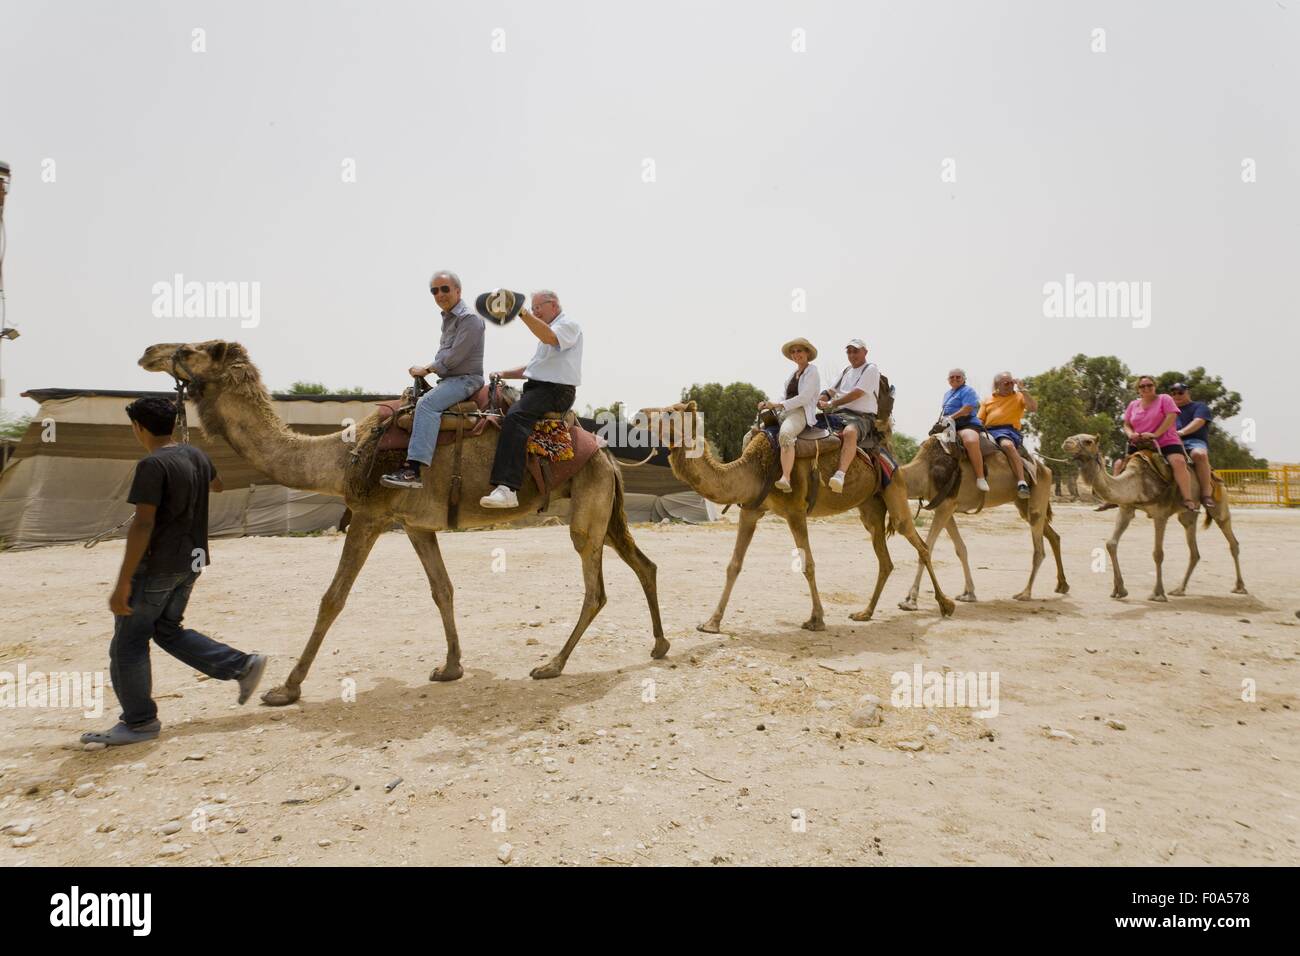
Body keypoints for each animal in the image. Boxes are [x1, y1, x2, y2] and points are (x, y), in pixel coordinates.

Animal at [139, 340, 667, 704]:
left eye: (191, 349)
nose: (148, 351)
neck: (344, 455)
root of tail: (606, 453)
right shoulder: (415, 524)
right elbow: (442, 590)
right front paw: (450, 668)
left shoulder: (369, 515)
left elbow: (332, 600)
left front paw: (285, 689)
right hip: (604, 508)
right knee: (643, 564)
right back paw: (660, 645)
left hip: (586, 512)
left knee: (596, 589)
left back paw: (552, 665)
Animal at [639, 402, 955, 631]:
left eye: (670, 411)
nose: (639, 416)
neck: (755, 467)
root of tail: (886, 449)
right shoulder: (751, 510)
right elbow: (734, 565)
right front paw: (711, 622)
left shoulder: (795, 511)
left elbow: (808, 565)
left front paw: (816, 620)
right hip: (870, 508)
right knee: (885, 560)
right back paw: (865, 613)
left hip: (895, 490)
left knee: (919, 544)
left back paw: (944, 604)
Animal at [894, 431, 1068, 609]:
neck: (925, 470)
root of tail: (1045, 468)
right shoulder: (945, 507)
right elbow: (961, 549)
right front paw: (968, 594)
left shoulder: (946, 505)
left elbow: (926, 548)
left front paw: (910, 600)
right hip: (1023, 504)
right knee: (1053, 536)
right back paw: (1062, 585)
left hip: (1038, 495)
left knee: (1039, 549)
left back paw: (1025, 593)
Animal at [1063, 433, 1246, 601]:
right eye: (1073, 436)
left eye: (1088, 441)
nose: (1066, 442)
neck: (1137, 480)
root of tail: (1215, 473)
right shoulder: (1126, 508)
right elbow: (1111, 544)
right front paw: (1119, 590)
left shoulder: (1160, 514)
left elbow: (1158, 553)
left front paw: (1157, 593)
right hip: (1187, 514)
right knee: (1194, 551)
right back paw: (1179, 590)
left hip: (1219, 502)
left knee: (1231, 538)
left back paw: (1240, 587)